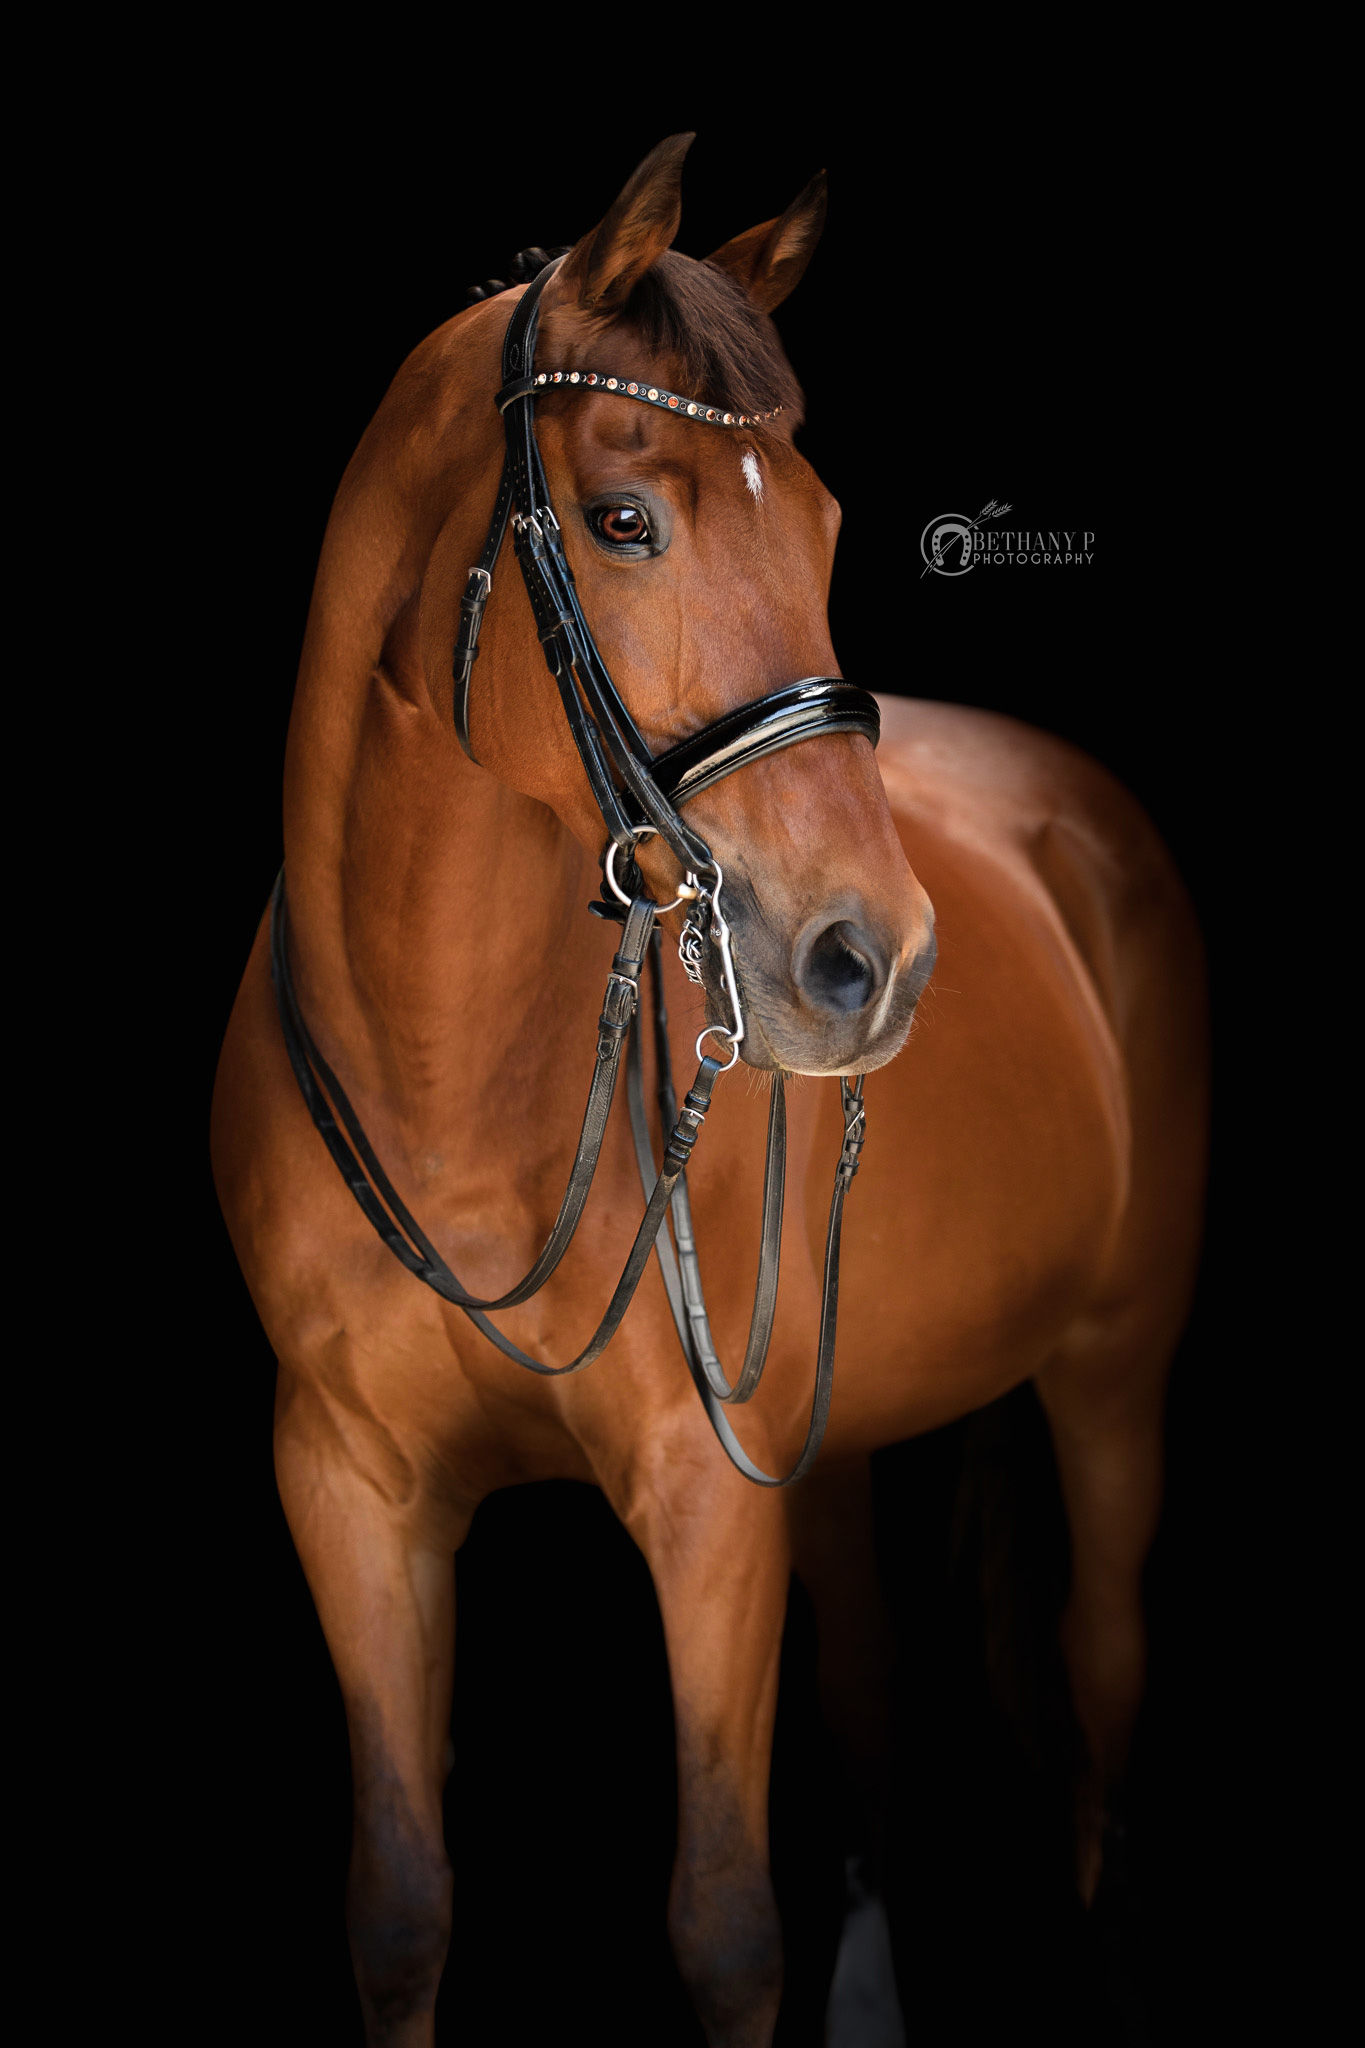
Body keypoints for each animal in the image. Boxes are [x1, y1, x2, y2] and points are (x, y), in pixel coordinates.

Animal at [211, 133, 1207, 2046]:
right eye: (624, 520)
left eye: (821, 523)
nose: (870, 957)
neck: (454, 1080)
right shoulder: (350, 1481)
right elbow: (400, 1902)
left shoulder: (699, 1498)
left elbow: (727, 1921)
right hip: (823, 1437)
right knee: (878, 1705)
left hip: (1112, 1373)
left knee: (1106, 1708)